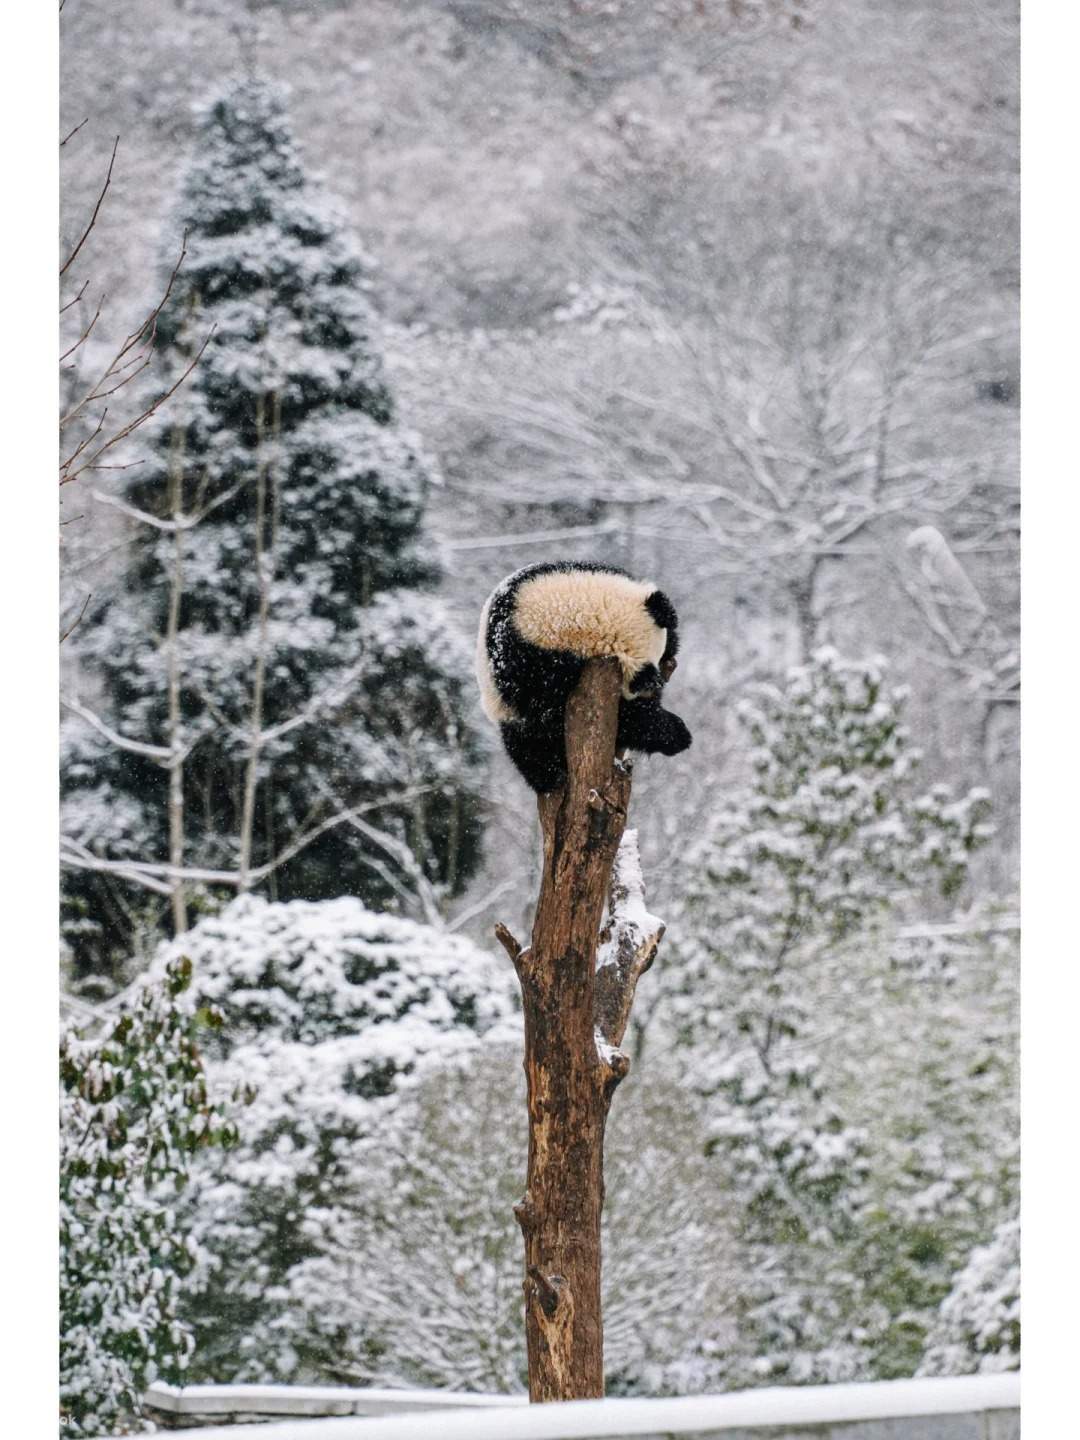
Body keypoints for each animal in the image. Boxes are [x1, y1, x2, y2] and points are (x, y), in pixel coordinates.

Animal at [475, 560, 692, 793]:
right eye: (642, 678)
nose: (654, 685)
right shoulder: (530, 667)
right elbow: (552, 714)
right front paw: (675, 732)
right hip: (503, 708)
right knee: (526, 745)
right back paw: (550, 776)